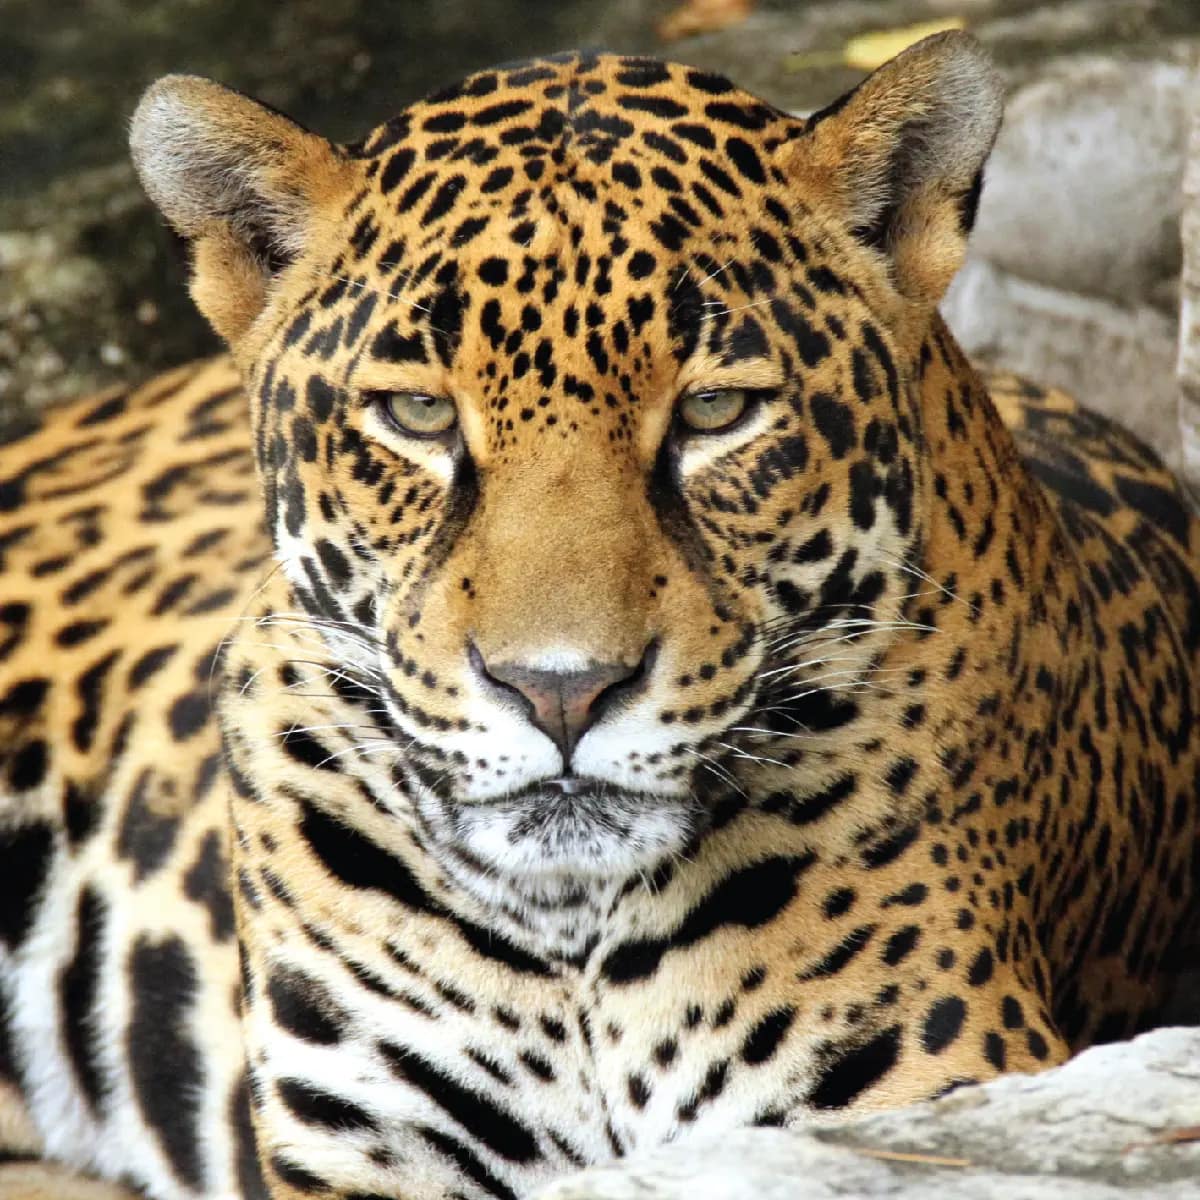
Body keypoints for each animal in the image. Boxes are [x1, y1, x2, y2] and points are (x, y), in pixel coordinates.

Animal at [1, 30, 1197, 1200]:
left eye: (717, 410)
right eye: (418, 414)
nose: (561, 690)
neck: (572, 934)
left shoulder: (930, 1084)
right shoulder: (359, 1146)